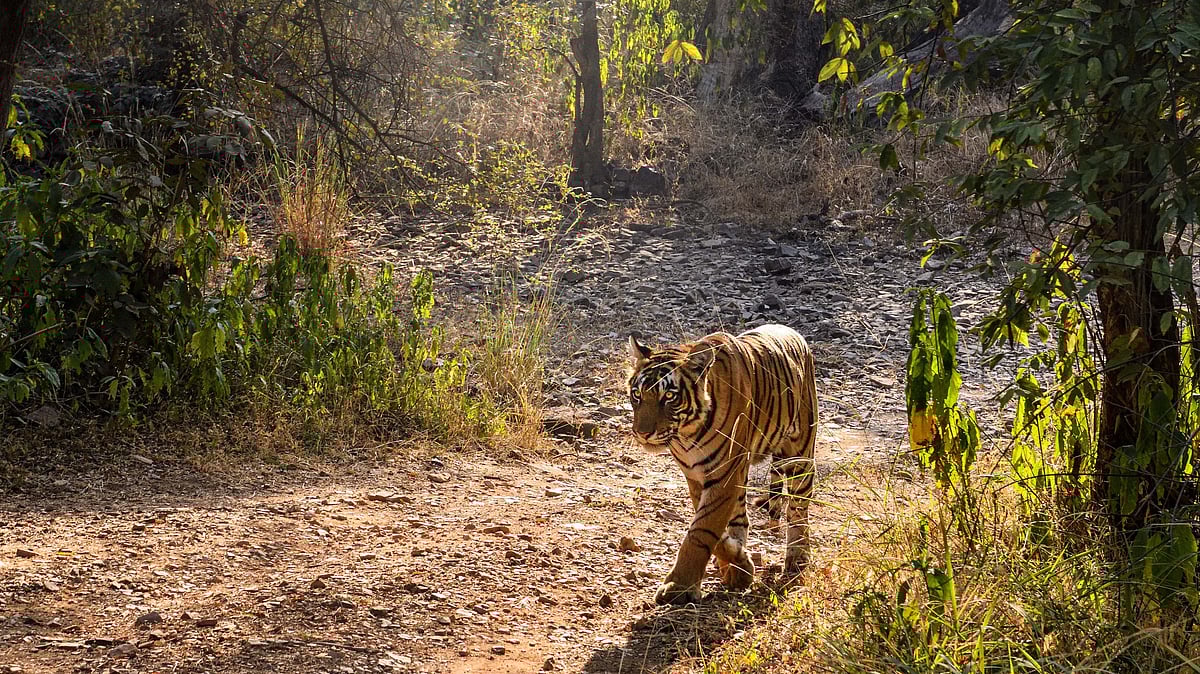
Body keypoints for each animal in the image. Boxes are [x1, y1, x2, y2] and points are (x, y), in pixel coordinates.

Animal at [627, 324, 818, 605]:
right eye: (637, 394)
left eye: (669, 396)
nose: (642, 433)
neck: (686, 434)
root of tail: (793, 333)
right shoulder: (697, 477)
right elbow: (710, 528)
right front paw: (739, 564)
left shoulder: (724, 474)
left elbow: (701, 531)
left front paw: (679, 586)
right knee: (741, 518)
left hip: (800, 454)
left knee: (797, 509)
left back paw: (797, 558)